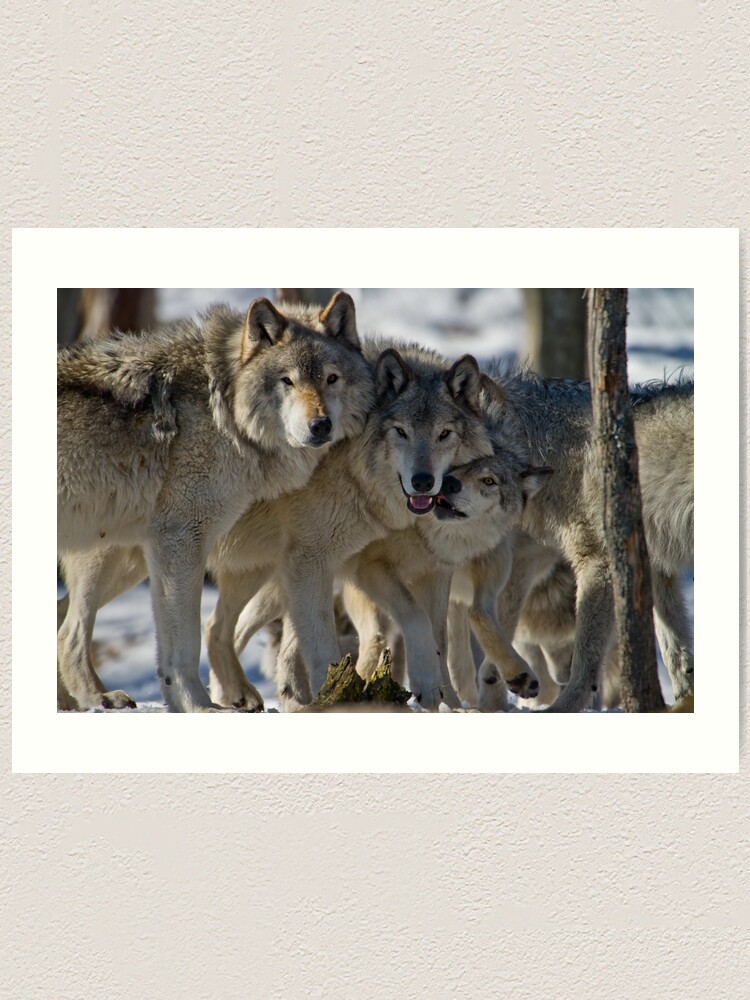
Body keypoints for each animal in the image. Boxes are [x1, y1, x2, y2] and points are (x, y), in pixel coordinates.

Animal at [57, 292, 373, 712]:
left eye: (331, 379)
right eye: (287, 381)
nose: (320, 425)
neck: (224, 410)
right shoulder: (181, 541)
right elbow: (184, 644)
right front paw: (197, 705)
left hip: (121, 560)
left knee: (65, 626)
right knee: (72, 632)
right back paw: (98, 696)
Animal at [481, 370, 694, 712]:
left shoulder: (599, 562)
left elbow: (585, 659)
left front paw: (562, 709)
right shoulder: (655, 566)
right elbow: (676, 652)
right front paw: (685, 701)